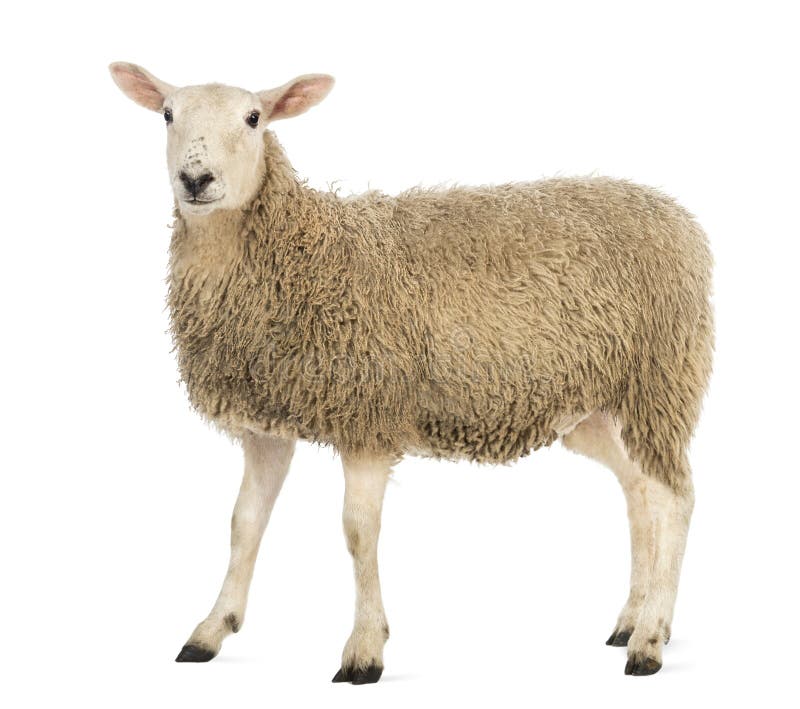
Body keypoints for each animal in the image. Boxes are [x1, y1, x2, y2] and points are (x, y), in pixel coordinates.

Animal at [109, 62, 714, 683]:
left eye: (254, 118)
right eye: (168, 114)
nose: (195, 179)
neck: (300, 256)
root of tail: (676, 216)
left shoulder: (368, 415)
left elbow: (358, 531)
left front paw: (364, 650)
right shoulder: (266, 423)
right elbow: (244, 523)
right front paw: (211, 630)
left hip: (661, 376)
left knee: (675, 498)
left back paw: (650, 641)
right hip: (595, 405)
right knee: (638, 490)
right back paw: (632, 620)